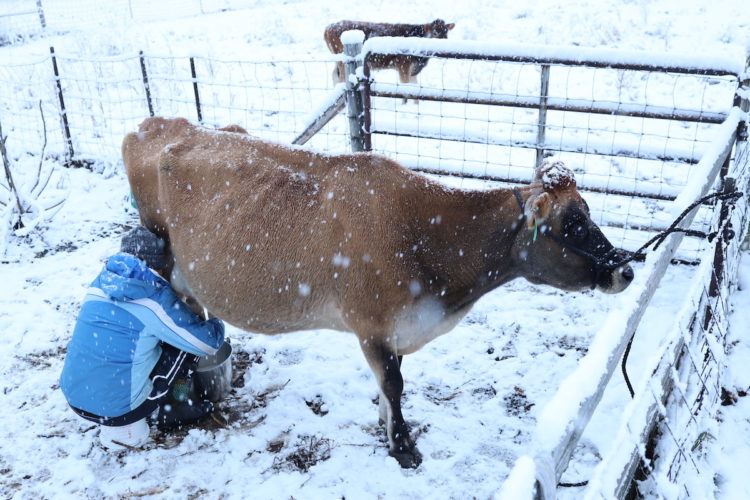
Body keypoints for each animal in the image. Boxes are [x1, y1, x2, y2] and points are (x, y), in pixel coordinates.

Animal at [122, 117, 634, 469]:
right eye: (573, 224)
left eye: (588, 212)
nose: (626, 270)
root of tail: (158, 124)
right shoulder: (370, 326)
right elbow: (394, 383)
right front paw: (403, 448)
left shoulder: (397, 330)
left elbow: (393, 384)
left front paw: (385, 428)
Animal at [324, 19, 455, 86]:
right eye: (435, 33)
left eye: (446, 33)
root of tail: (328, 28)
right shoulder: (403, 66)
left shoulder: (412, 69)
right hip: (342, 61)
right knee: (341, 78)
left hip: (337, 60)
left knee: (334, 76)